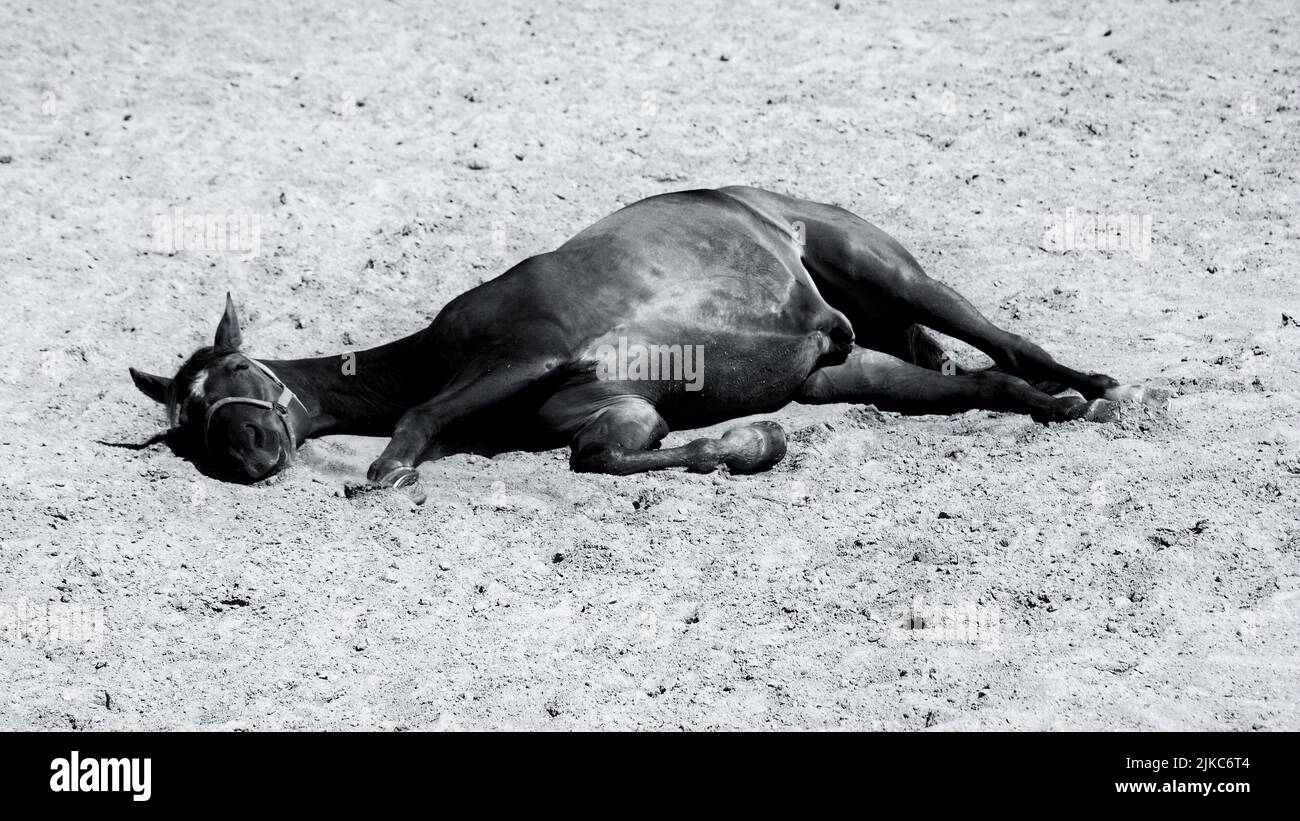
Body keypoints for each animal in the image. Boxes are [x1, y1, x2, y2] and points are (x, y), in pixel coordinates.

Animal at [129, 186, 1163, 487]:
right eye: (183, 422)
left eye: (241, 366)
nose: (249, 447)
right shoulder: (617, 406)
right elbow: (610, 453)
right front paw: (753, 443)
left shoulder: (530, 348)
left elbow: (422, 416)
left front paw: (387, 470)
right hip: (847, 368)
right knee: (985, 384)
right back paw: (1060, 407)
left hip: (887, 272)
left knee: (1008, 342)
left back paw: (1101, 388)